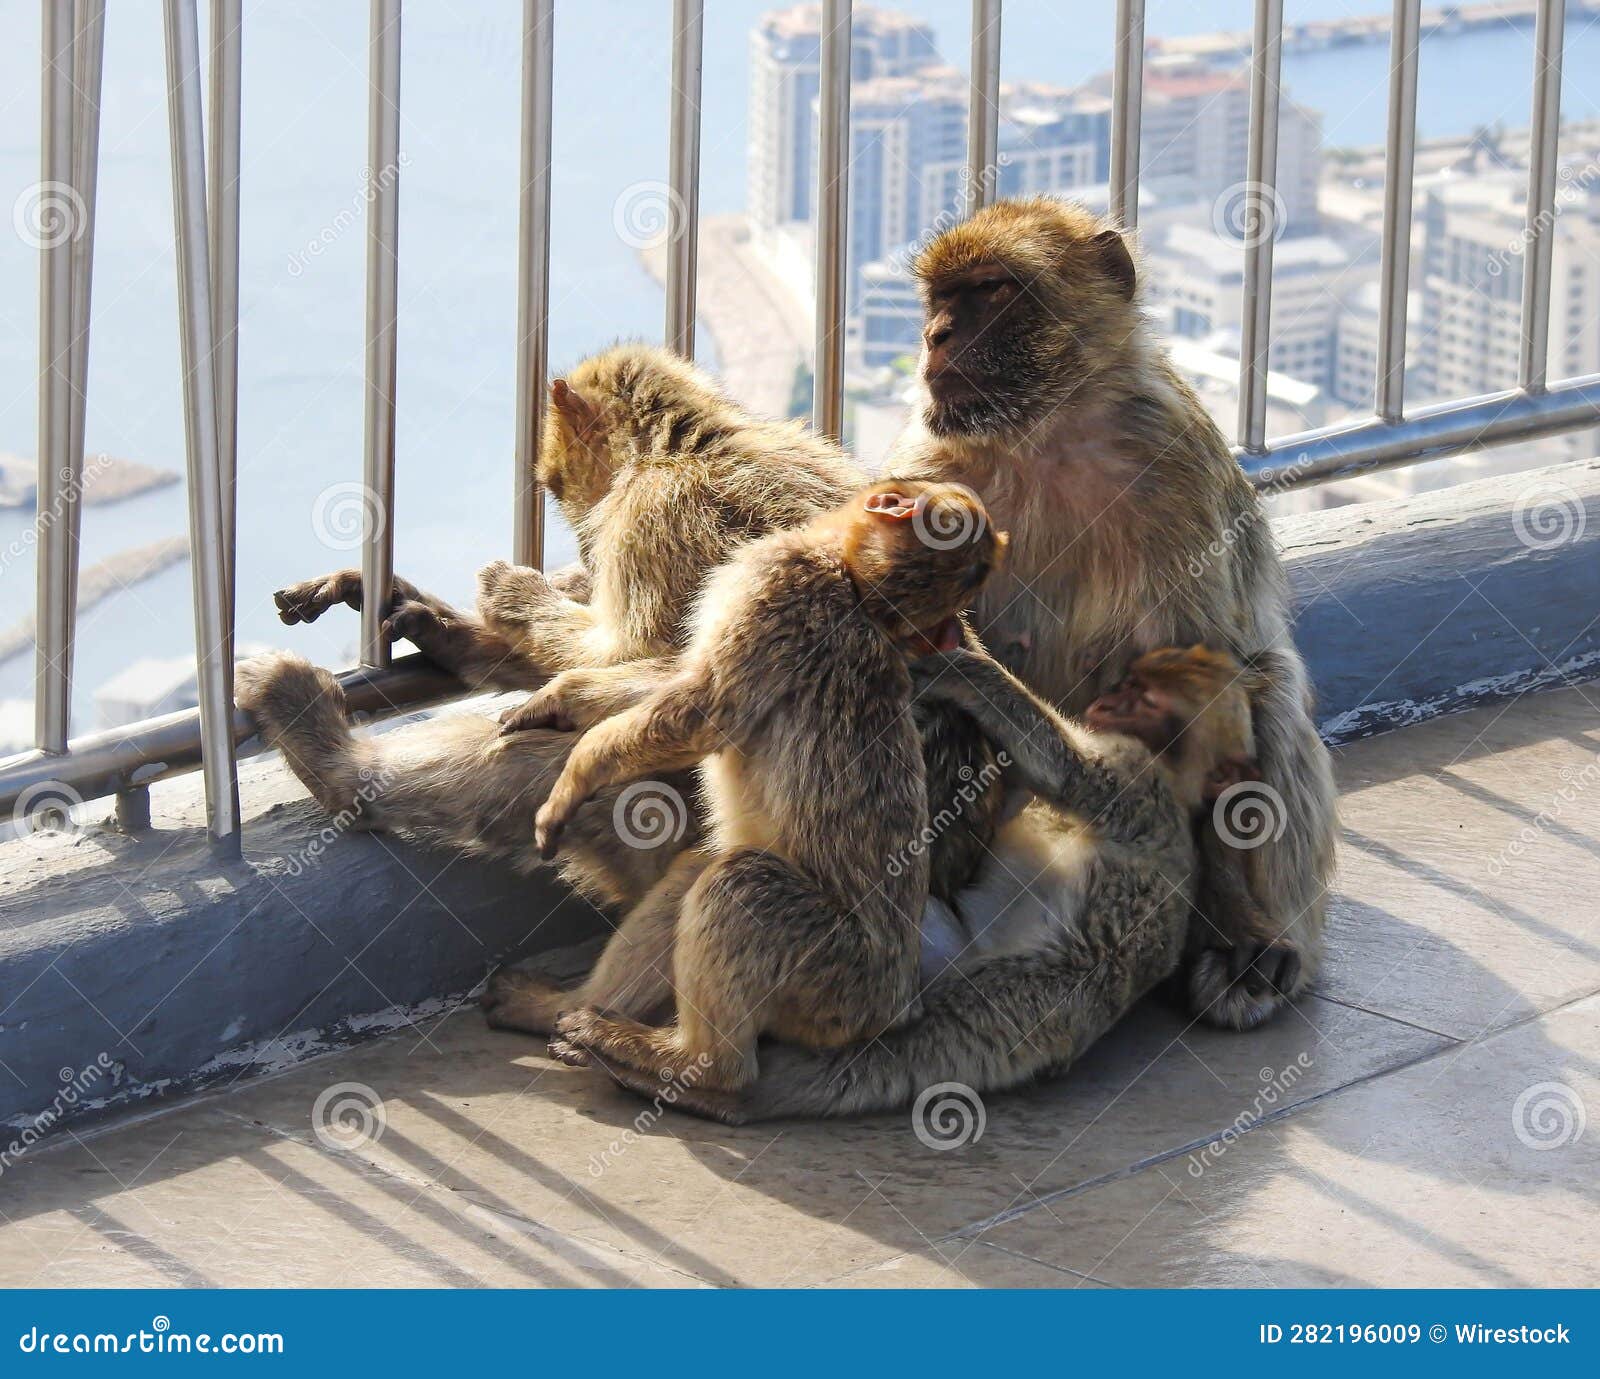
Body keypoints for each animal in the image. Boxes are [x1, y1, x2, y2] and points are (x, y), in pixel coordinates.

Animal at [512, 480, 1008, 1093]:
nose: (952, 636)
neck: (854, 582)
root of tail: (894, 1006)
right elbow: (685, 682)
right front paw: (567, 696)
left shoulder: (774, 580)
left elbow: (700, 712)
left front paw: (579, 769)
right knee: (697, 873)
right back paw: (563, 1008)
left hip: (831, 975)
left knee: (740, 883)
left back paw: (686, 1062)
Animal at [576, 643, 1268, 1124]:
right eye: (1126, 686)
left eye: (1145, 701)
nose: (1107, 702)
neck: (1179, 786)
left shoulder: (1136, 775)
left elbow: (1071, 774)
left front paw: (965, 670)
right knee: (716, 870)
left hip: (963, 1007)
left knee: (752, 895)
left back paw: (712, 1078)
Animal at [880, 195, 1338, 1030]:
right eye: (939, 297)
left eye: (991, 290)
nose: (936, 336)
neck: (1045, 432)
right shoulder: (927, 463)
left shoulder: (1177, 465)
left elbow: (1210, 679)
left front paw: (1244, 932)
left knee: (1271, 687)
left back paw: (1245, 934)